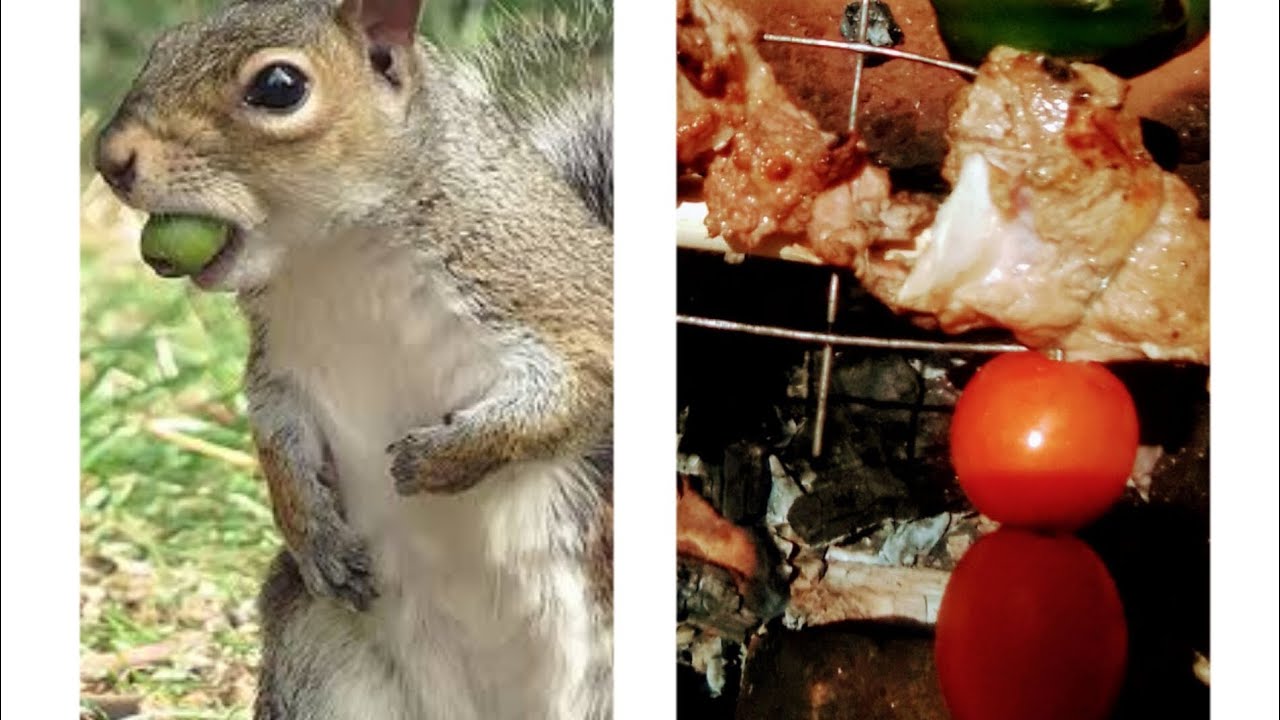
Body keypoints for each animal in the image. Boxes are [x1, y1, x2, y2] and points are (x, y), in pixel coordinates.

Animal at [94, 1, 613, 718]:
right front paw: (314, 532)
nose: (109, 158)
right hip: (324, 662)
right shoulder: (280, 367)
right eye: (164, 45)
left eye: (278, 87)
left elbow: (581, 391)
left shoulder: (552, 295)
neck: (332, 253)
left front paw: (441, 457)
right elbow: (276, 435)